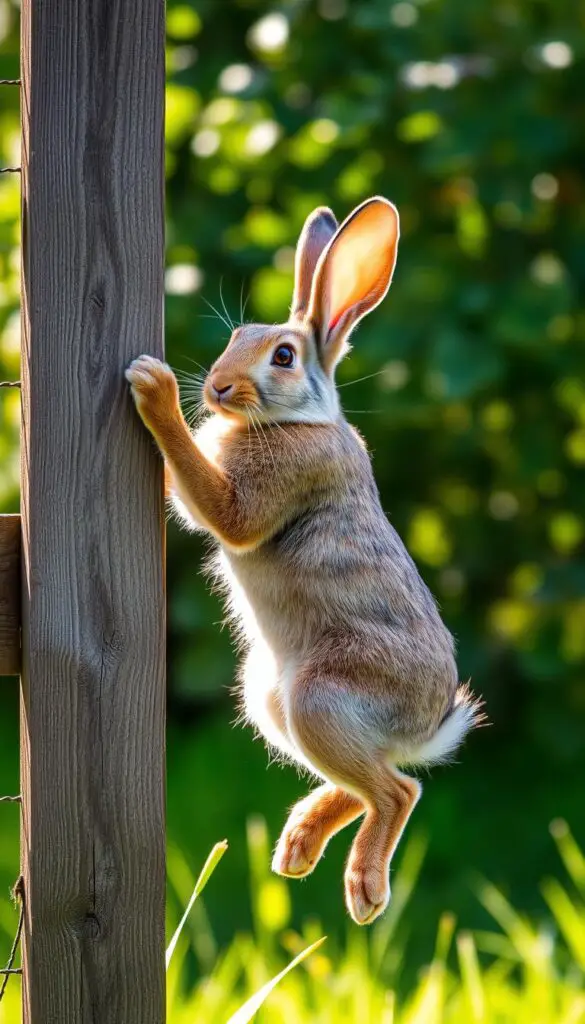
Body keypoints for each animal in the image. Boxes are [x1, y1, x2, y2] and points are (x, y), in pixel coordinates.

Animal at [126, 196, 483, 925]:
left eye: (284, 357)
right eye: (236, 337)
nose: (217, 388)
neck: (300, 421)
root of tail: (430, 725)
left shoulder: (252, 500)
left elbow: (219, 507)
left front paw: (151, 389)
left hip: (319, 699)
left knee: (396, 791)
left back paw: (364, 890)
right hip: (272, 700)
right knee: (374, 782)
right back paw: (296, 845)